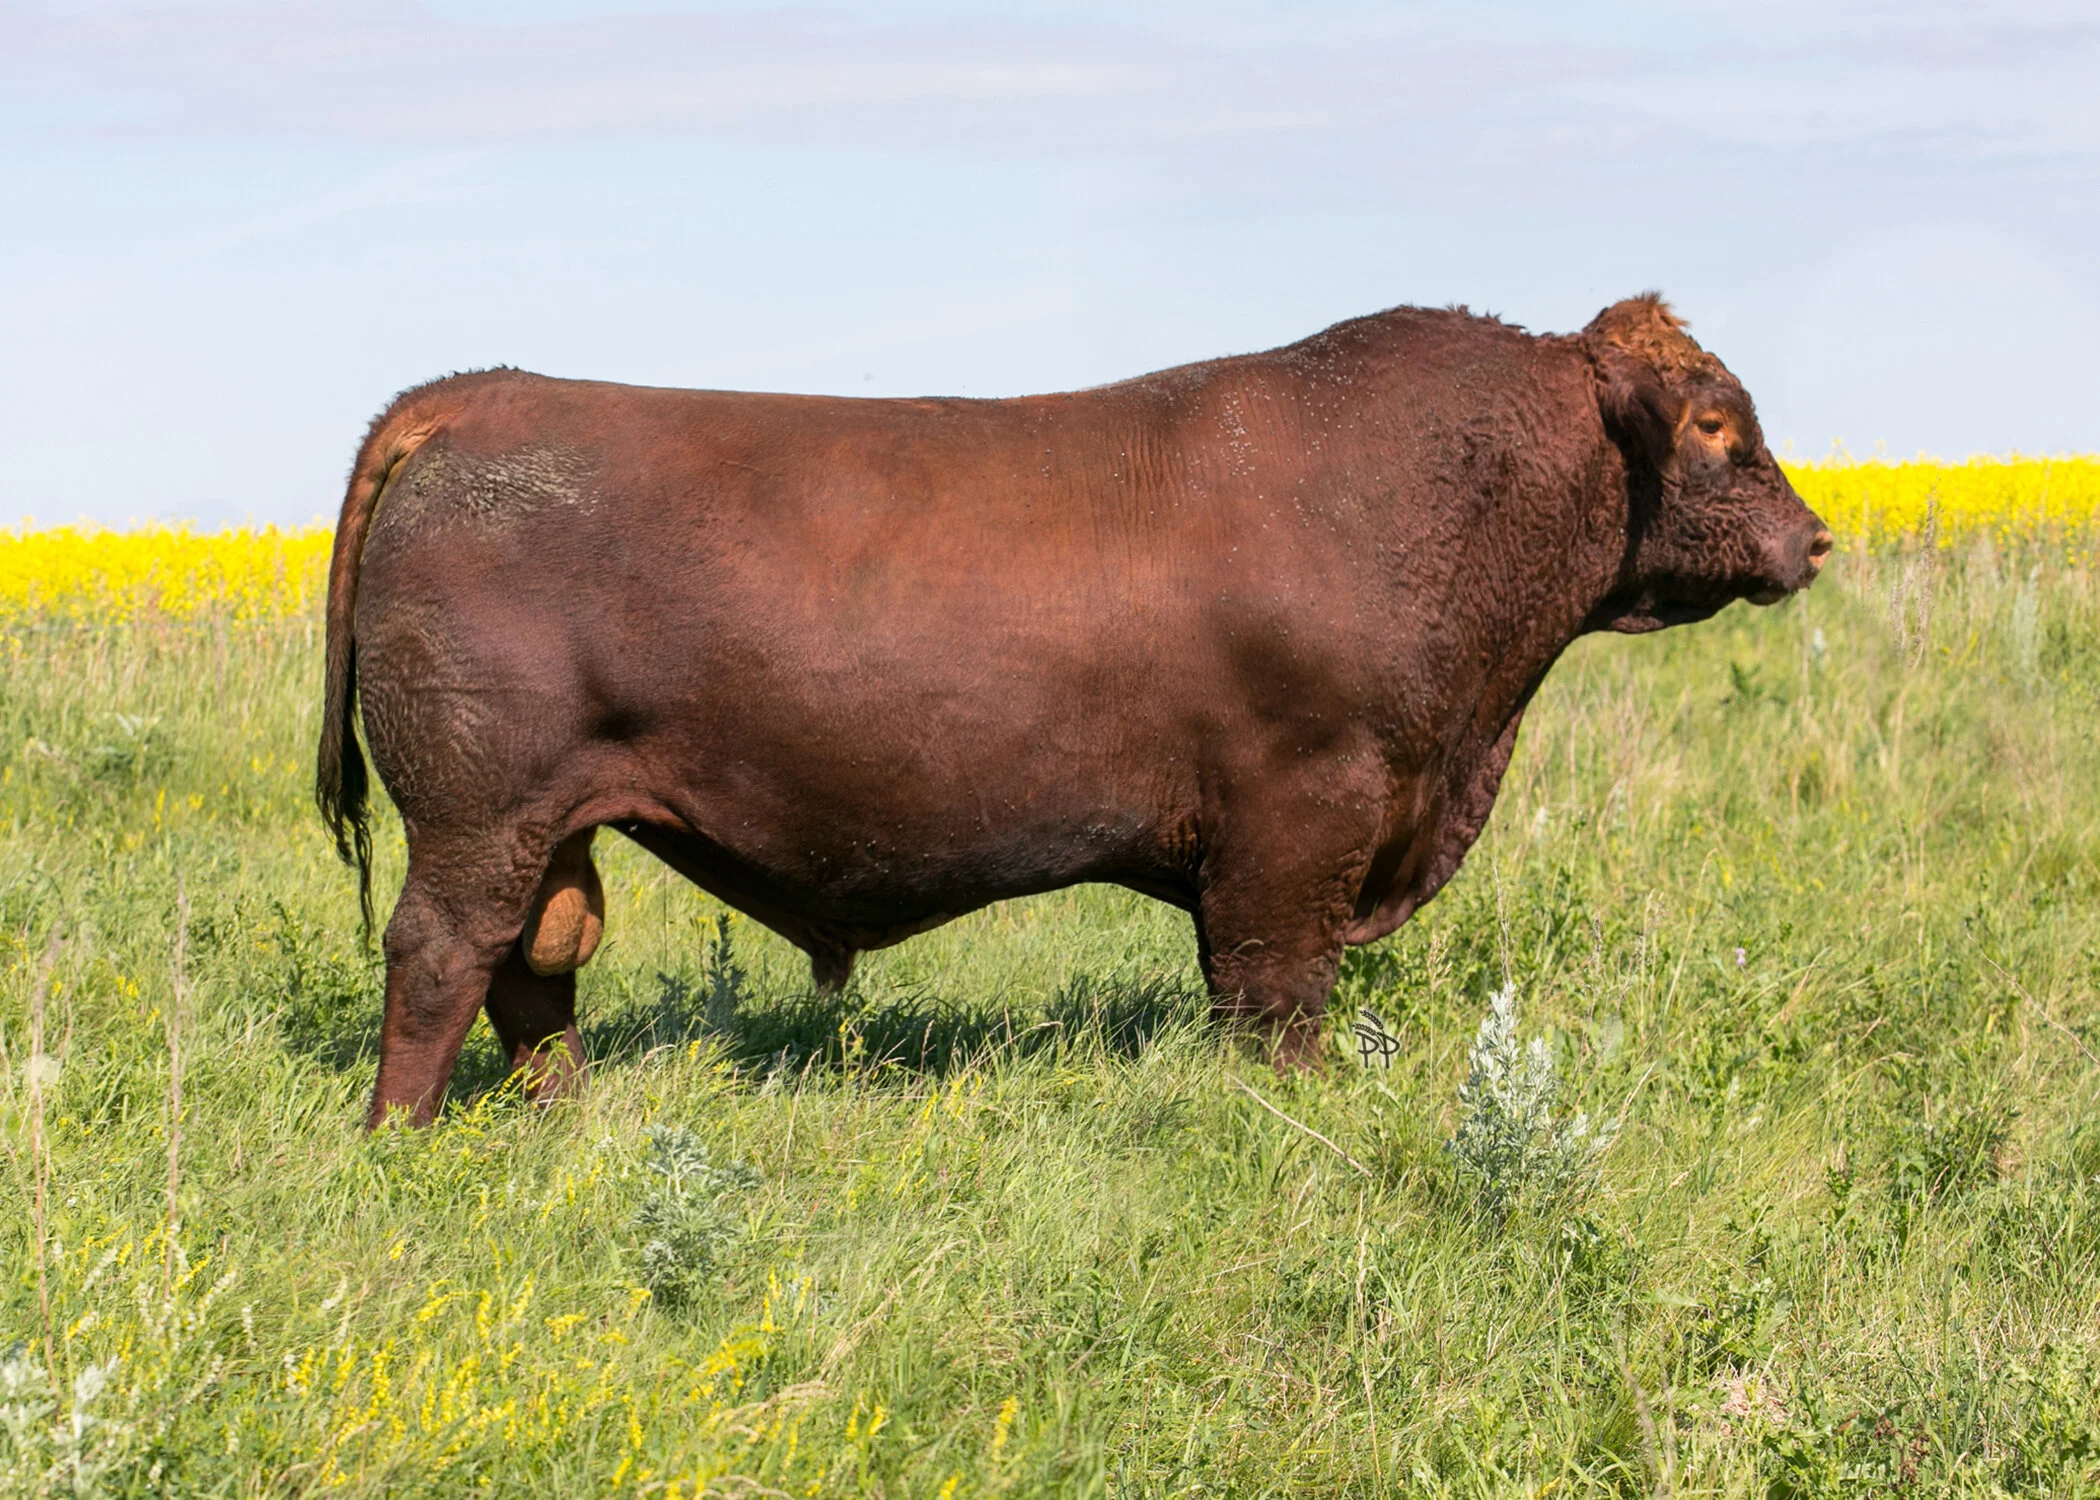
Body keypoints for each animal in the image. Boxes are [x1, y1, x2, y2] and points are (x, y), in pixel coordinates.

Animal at [317, 293, 1830, 1127]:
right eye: (1714, 427)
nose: (1812, 540)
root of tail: (482, 398)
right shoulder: (1301, 821)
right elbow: (1277, 999)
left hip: (544, 824)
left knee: (538, 964)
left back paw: (567, 1126)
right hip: (478, 812)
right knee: (444, 955)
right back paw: (401, 1141)